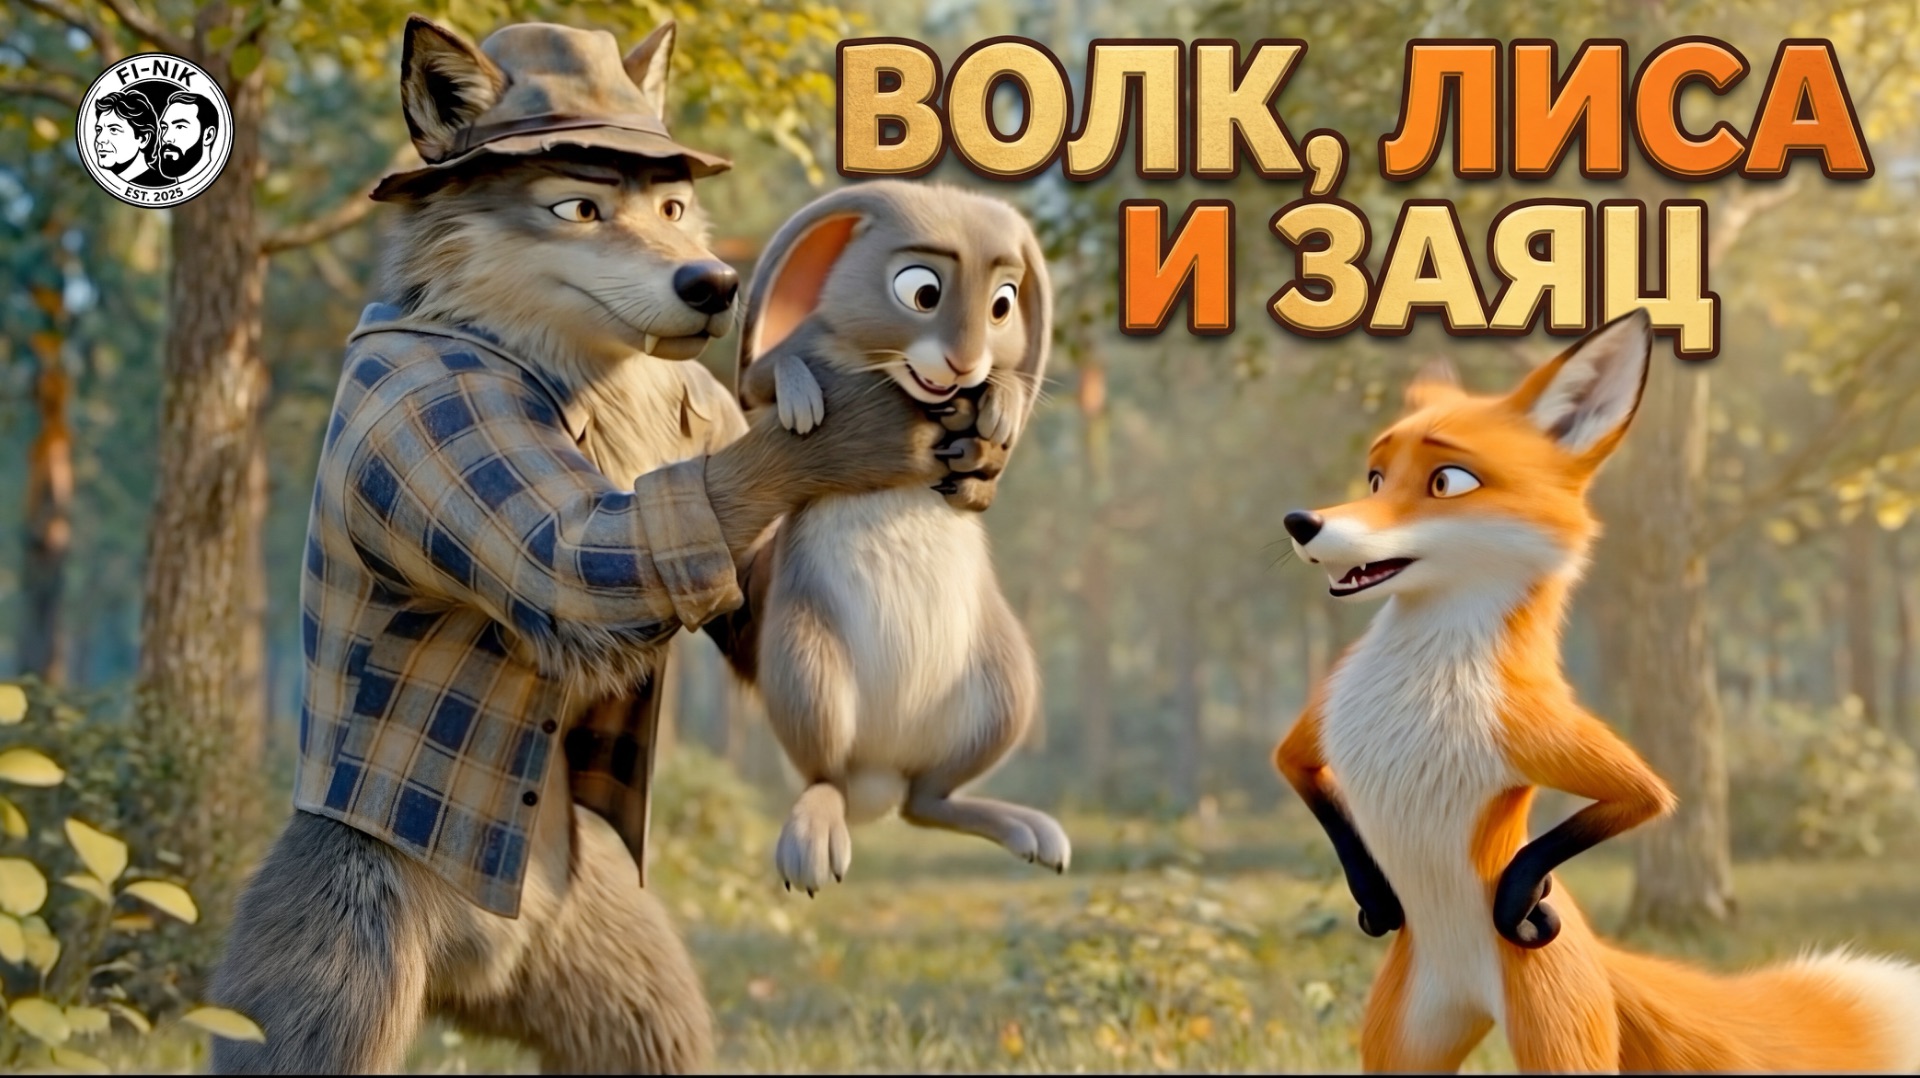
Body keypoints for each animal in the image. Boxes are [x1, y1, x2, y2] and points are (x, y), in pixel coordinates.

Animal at [731, 179, 1067, 893]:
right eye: (921, 291)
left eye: (1004, 304)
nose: (964, 364)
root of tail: (878, 779)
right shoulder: (798, 347)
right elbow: (769, 372)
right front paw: (802, 405)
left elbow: (1005, 389)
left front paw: (999, 408)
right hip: (806, 662)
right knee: (826, 776)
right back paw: (813, 844)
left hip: (1004, 686)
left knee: (928, 800)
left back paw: (1032, 833)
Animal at [1274, 308, 1920, 1073]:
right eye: (1374, 479)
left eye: (1447, 481)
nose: (1301, 522)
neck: (1409, 691)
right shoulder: (1321, 717)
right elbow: (1296, 768)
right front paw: (1374, 894)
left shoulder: (1533, 725)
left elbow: (1641, 797)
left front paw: (1519, 895)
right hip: (1403, 1039)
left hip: (1555, 1031)